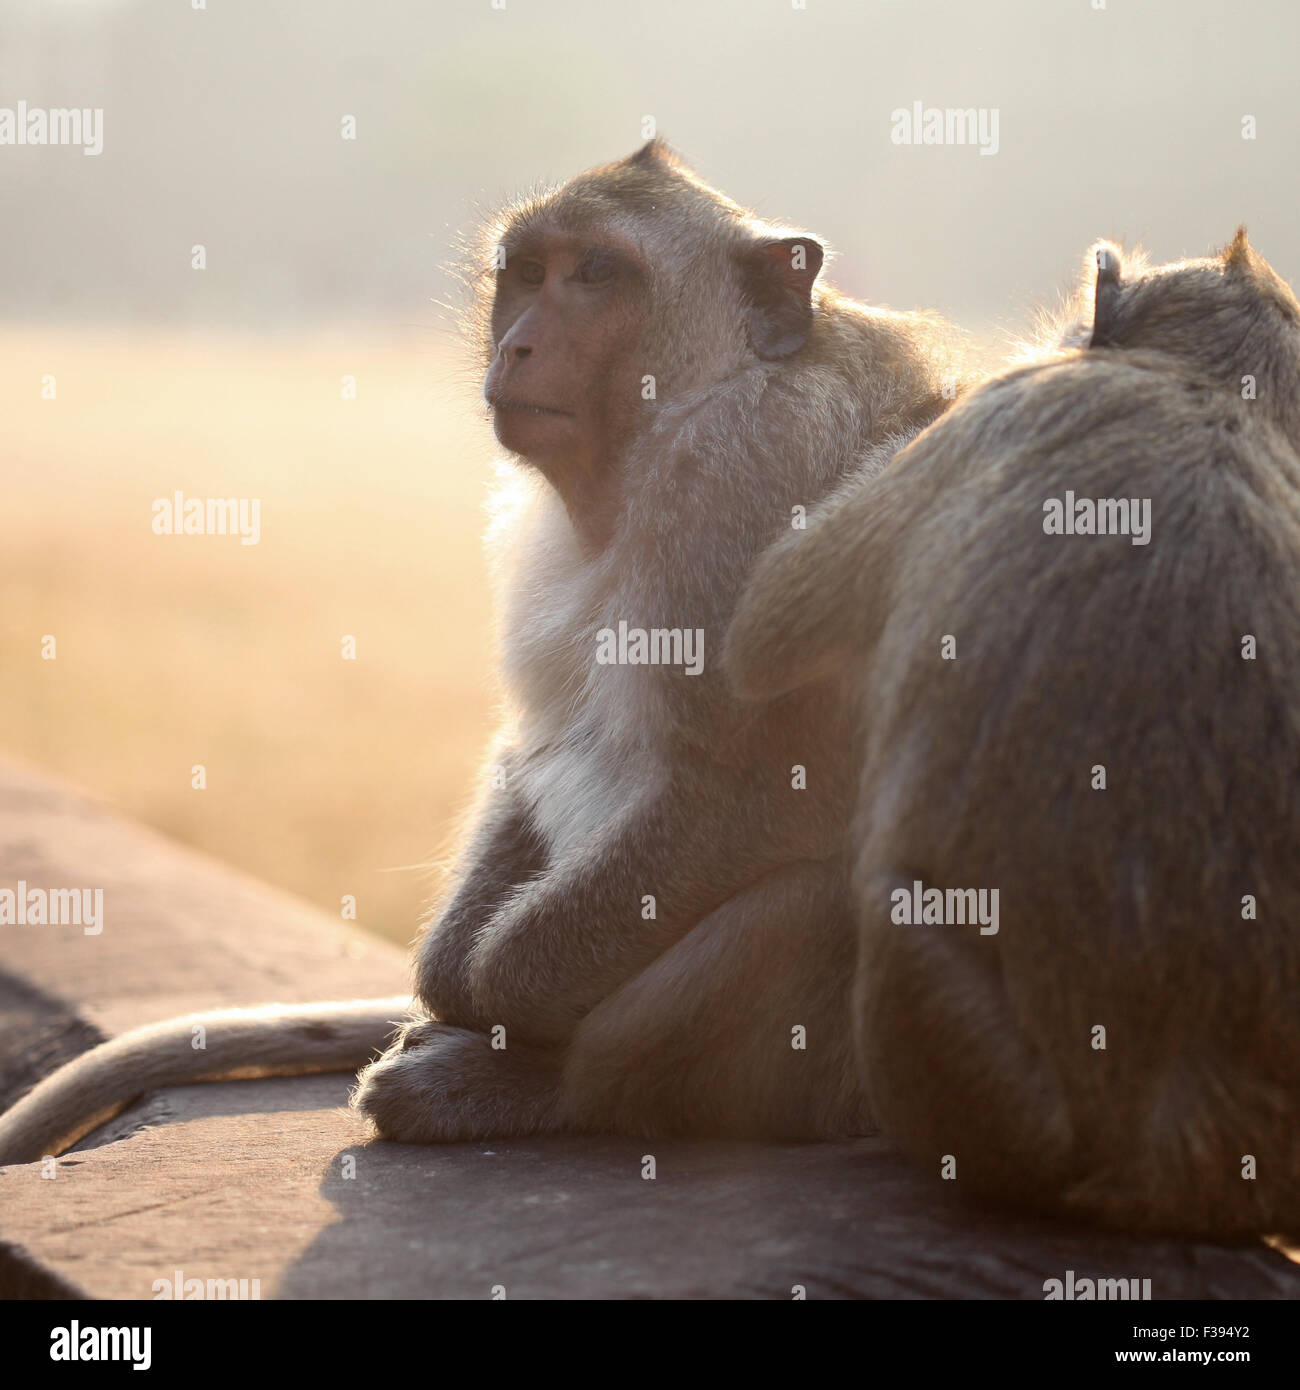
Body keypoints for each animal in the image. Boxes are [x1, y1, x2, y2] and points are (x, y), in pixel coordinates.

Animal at [0, 141, 974, 1165]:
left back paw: (550, 1089)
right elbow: (531, 752)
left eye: (598, 275)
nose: (517, 348)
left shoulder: (739, 471)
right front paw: (448, 979)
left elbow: (761, 788)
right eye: (529, 273)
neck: (692, 398)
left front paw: (499, 996)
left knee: (809, 893)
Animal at [724, 229, 1300, 1239]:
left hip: (992, 1094)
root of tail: (1167, 1159)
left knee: (896, 910)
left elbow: (768, 628)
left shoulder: (1011, 411)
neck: (1224, 400)